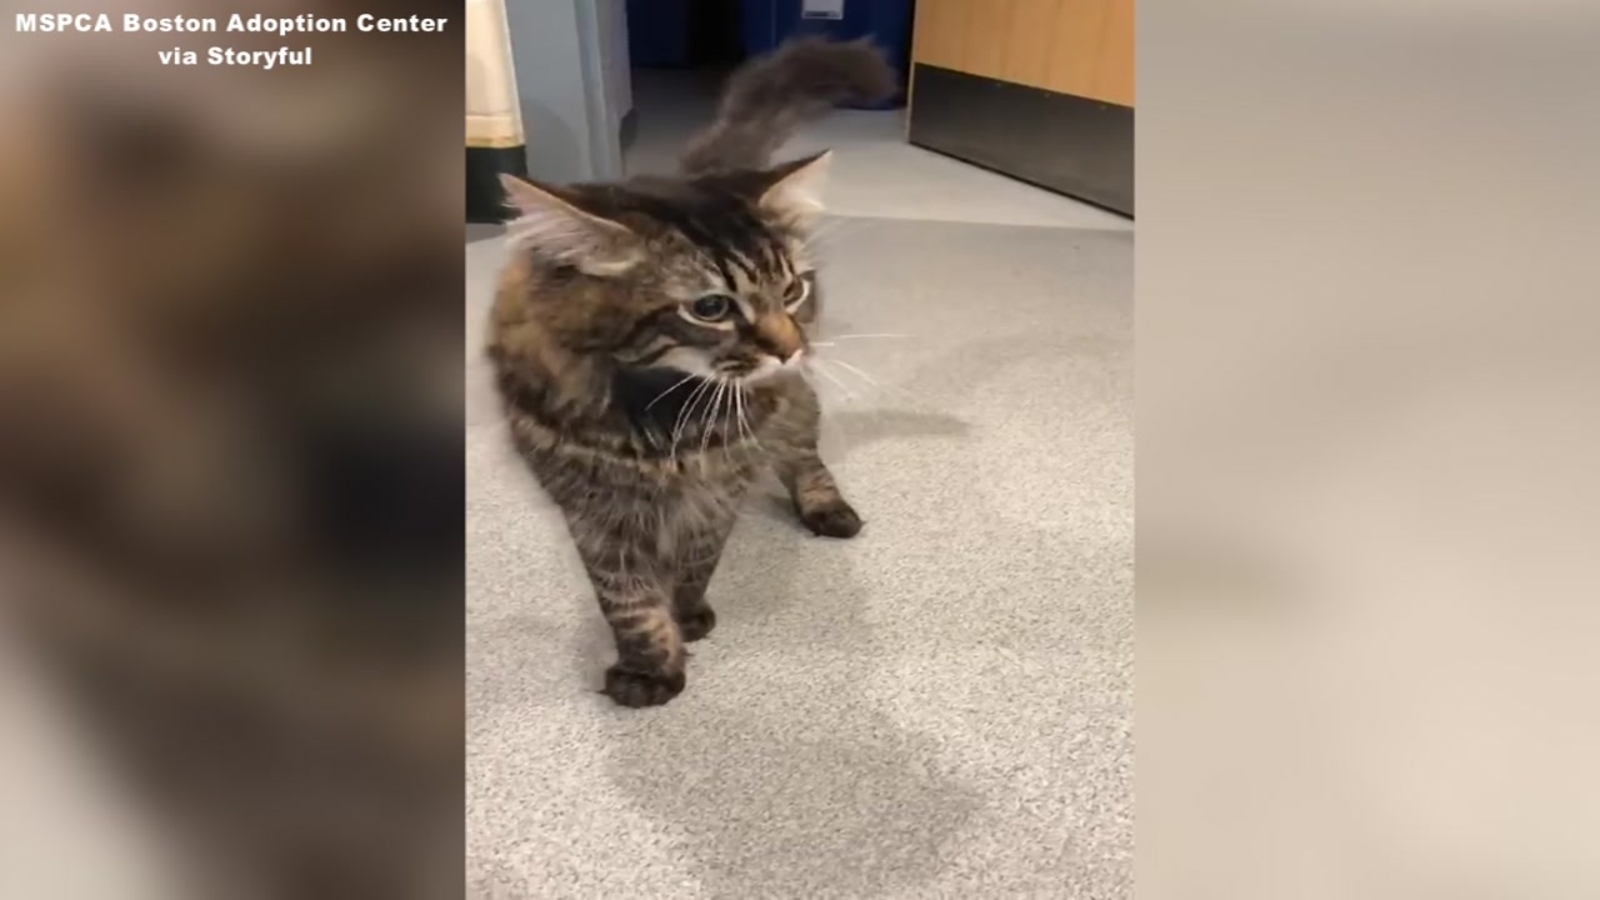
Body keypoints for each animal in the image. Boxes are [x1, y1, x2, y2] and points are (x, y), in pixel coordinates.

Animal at [488, 37, 896, 708]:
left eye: (791, 290)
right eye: (710, 308)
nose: (790, 349)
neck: (662, 414)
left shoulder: (721, 483)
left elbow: (699, 556)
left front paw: (687, 615)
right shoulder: (589, 504)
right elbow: (625, 596)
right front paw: (650, 666)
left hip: (791, 406)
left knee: (803, 448)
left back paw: (825, 504)